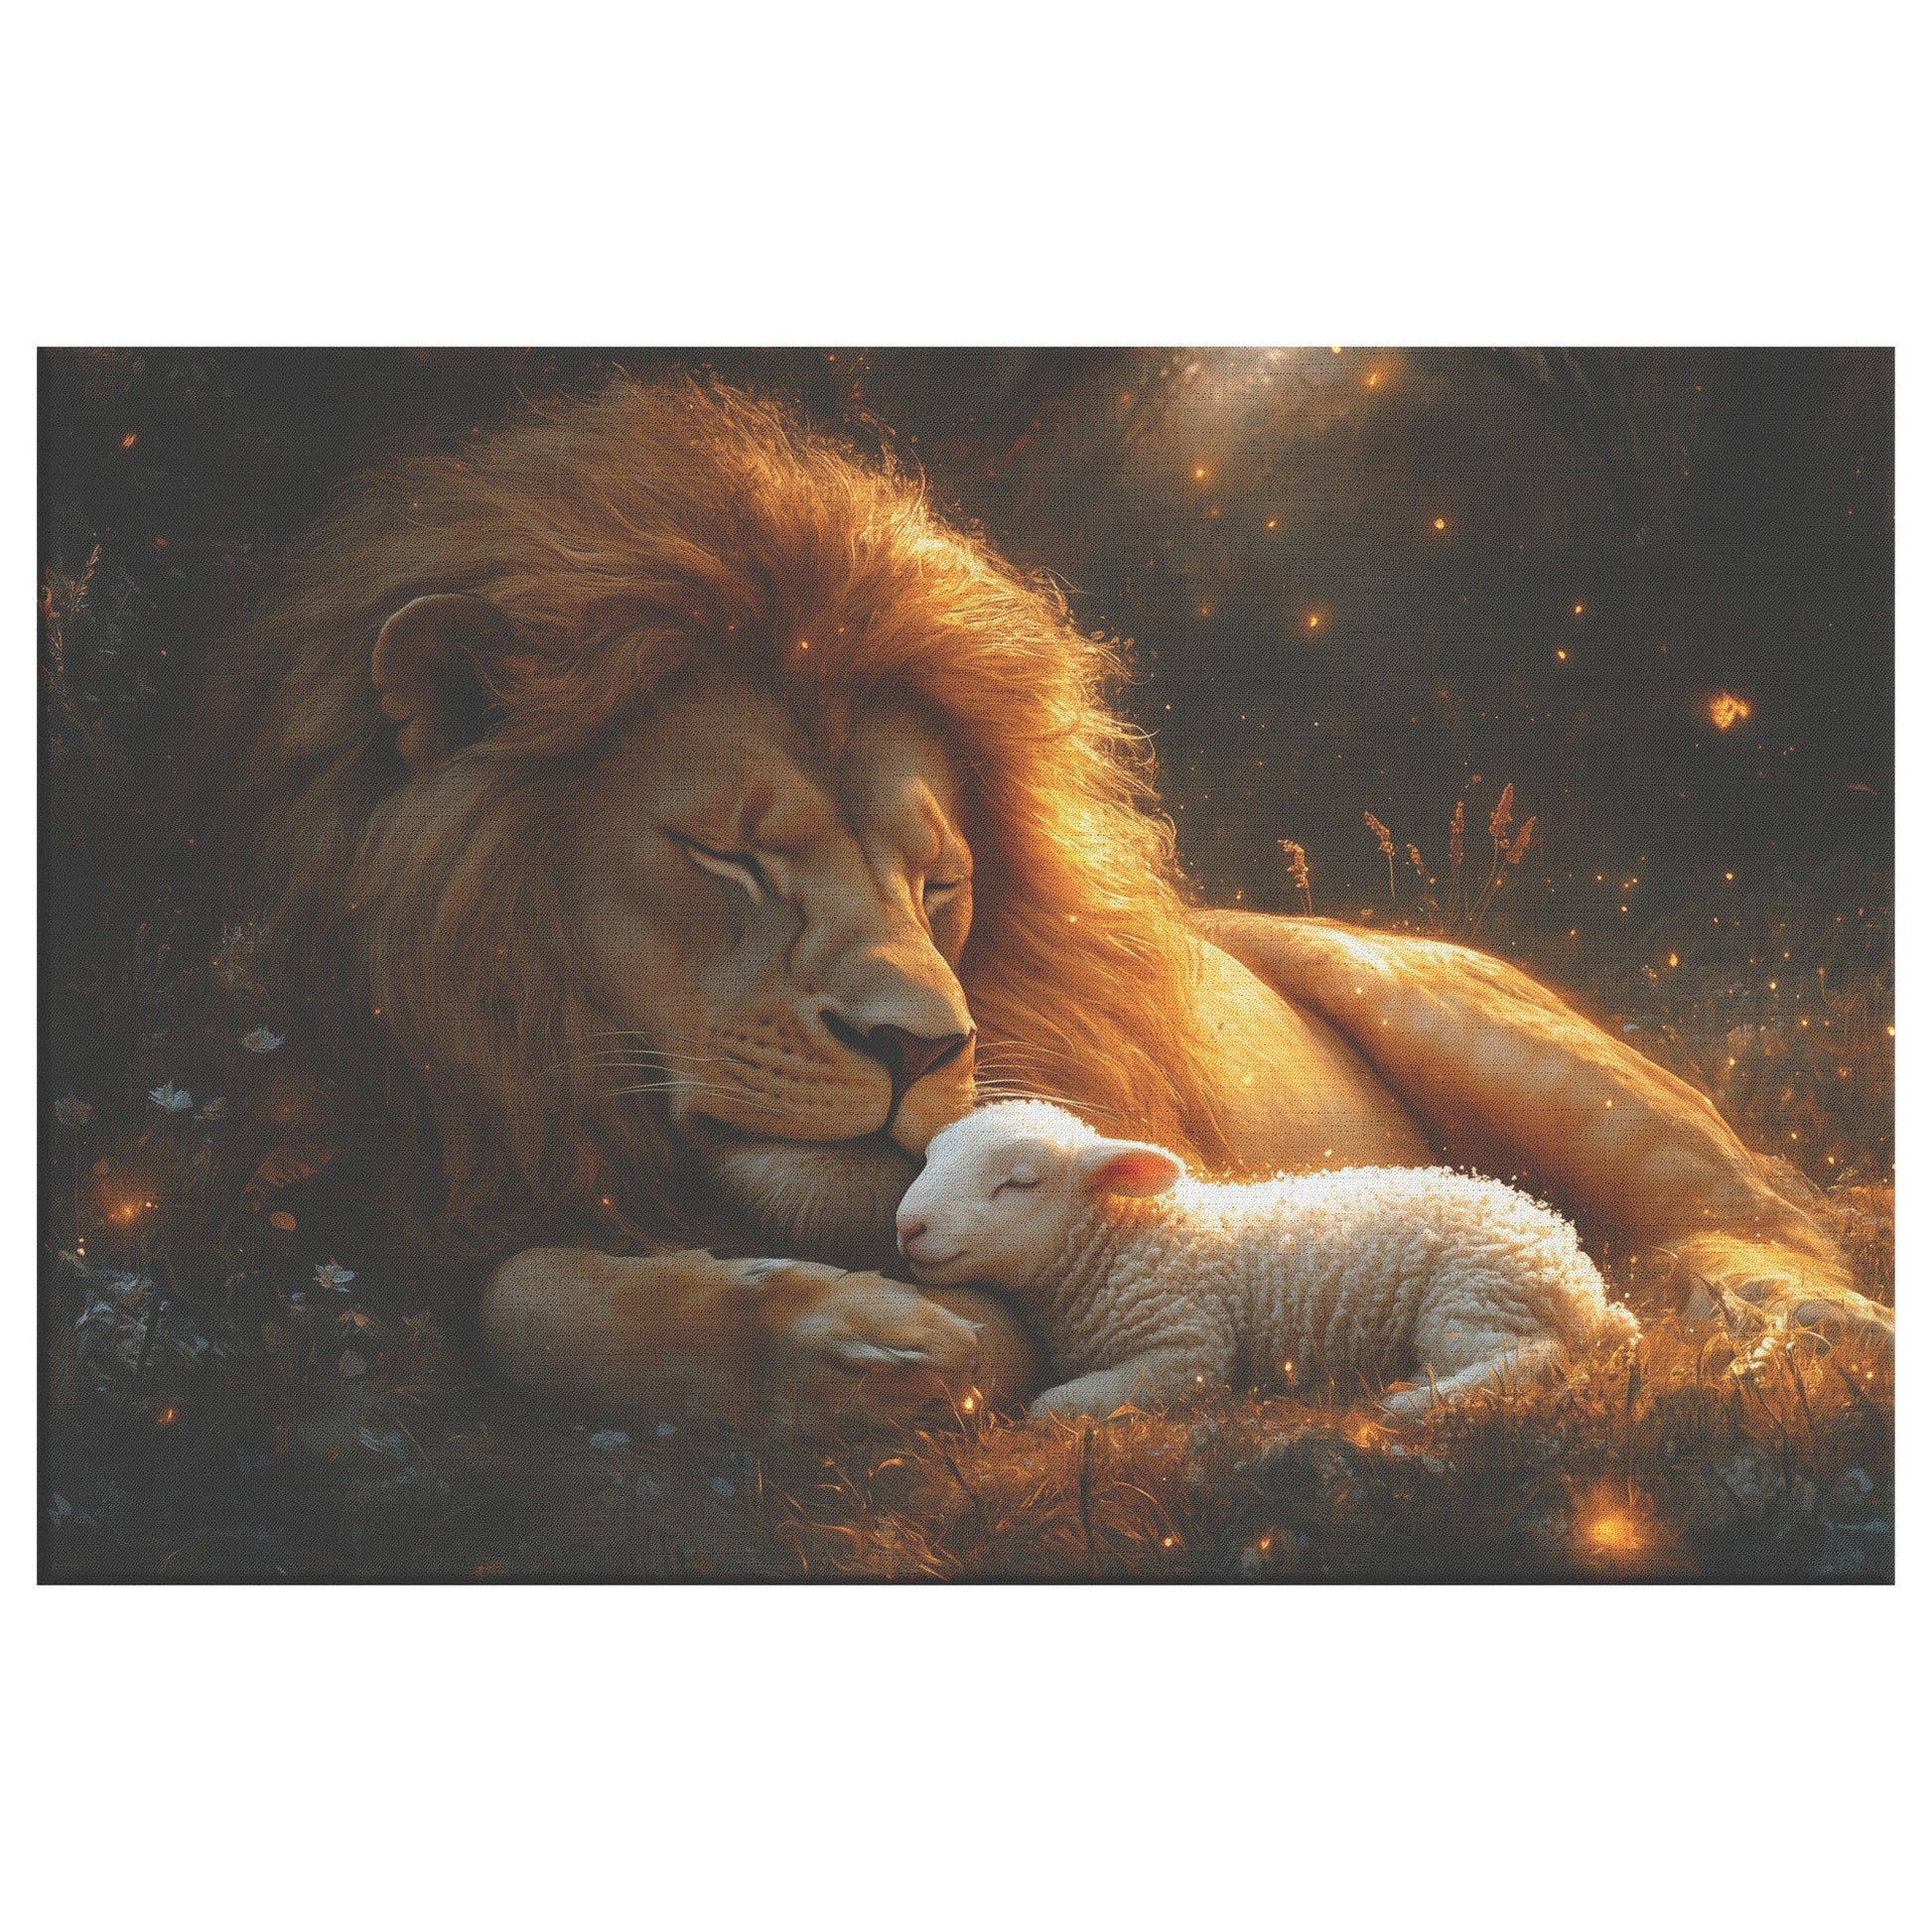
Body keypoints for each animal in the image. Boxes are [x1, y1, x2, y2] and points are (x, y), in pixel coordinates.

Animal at [894, 1100, 1640, 1421]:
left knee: (1533, 1359)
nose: (908, 1226)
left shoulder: (1187, 1353)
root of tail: (1582, 1279)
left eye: (1019, 1182)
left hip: (1474, 1297)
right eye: (930, 1158)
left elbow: (1050, 1406)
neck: (1126, 1238)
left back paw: (1413, 1400)